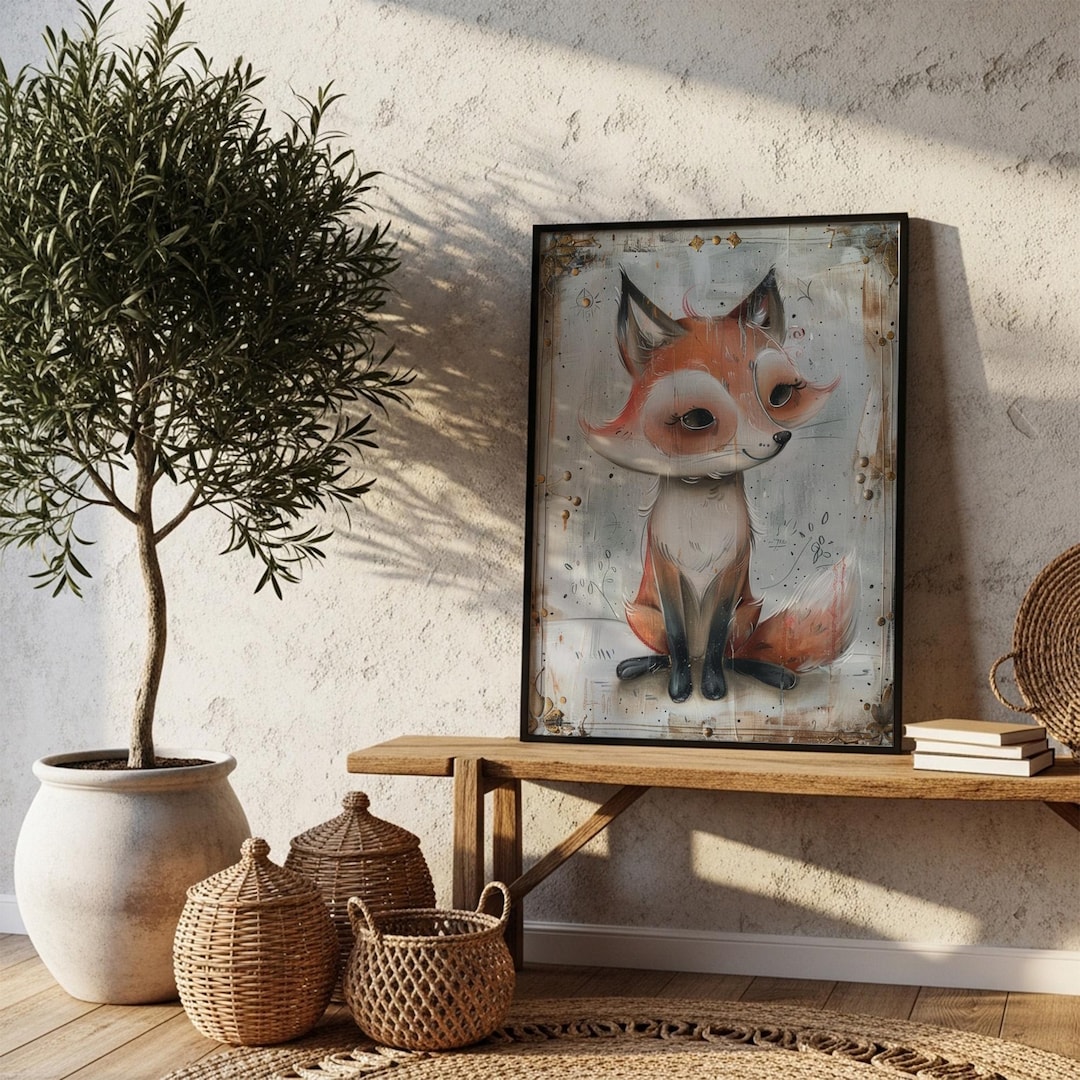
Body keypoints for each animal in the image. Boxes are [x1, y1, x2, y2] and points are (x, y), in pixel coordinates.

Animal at [581, 267, 858, 704]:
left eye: (779, 395)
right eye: (697, 419)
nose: (780, 437)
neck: (703, 517)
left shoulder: (732, 569)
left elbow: (714, 640)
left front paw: (712, 687)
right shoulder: (666, 571)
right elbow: (678, 637)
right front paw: (681, 689)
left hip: (747, 616)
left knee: (732, 654)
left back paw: (768, 673)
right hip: (645, 616)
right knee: (671, 651)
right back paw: (643, 665)